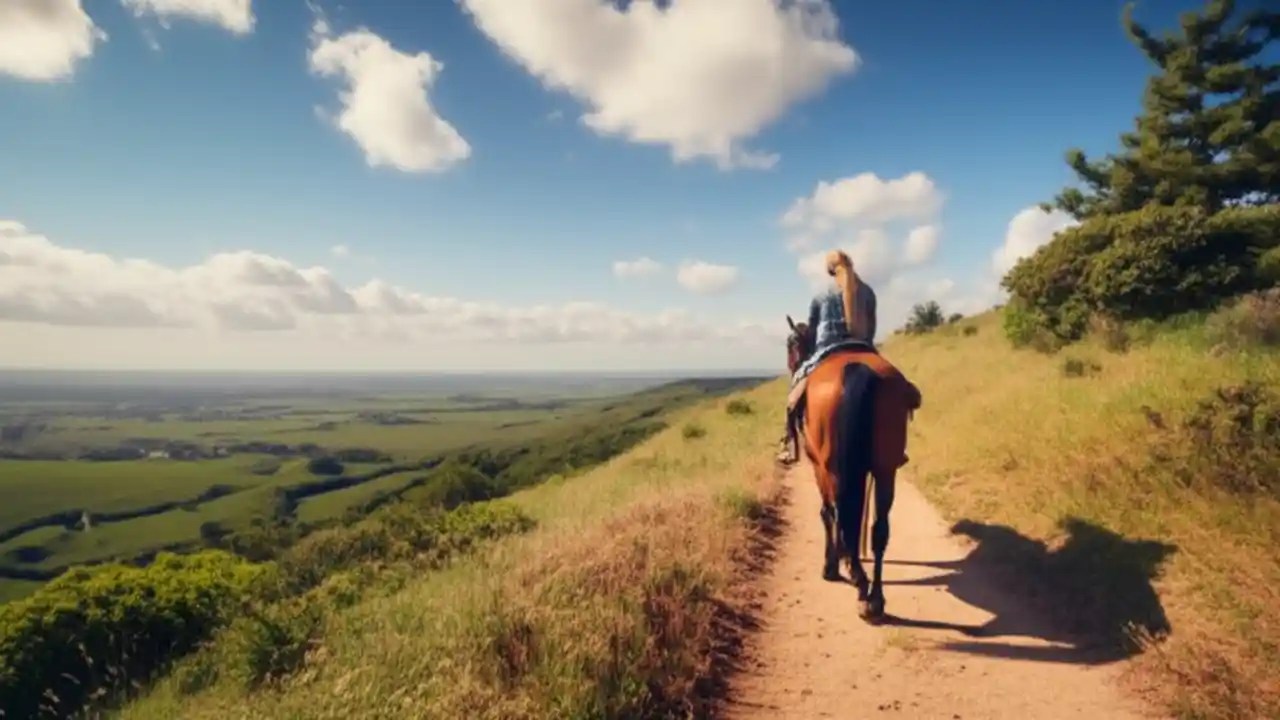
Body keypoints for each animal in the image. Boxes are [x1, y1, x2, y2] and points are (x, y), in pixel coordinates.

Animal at [783, 316, 919, 621]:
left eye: (791, 343)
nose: (792, 365)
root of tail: (858, 370)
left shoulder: (818, 466)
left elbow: (828, 513)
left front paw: (831, 567)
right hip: (885, 470)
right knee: (879, 529)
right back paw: (874, 597)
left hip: (832, 469)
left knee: (841, 515)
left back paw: (858, 579)